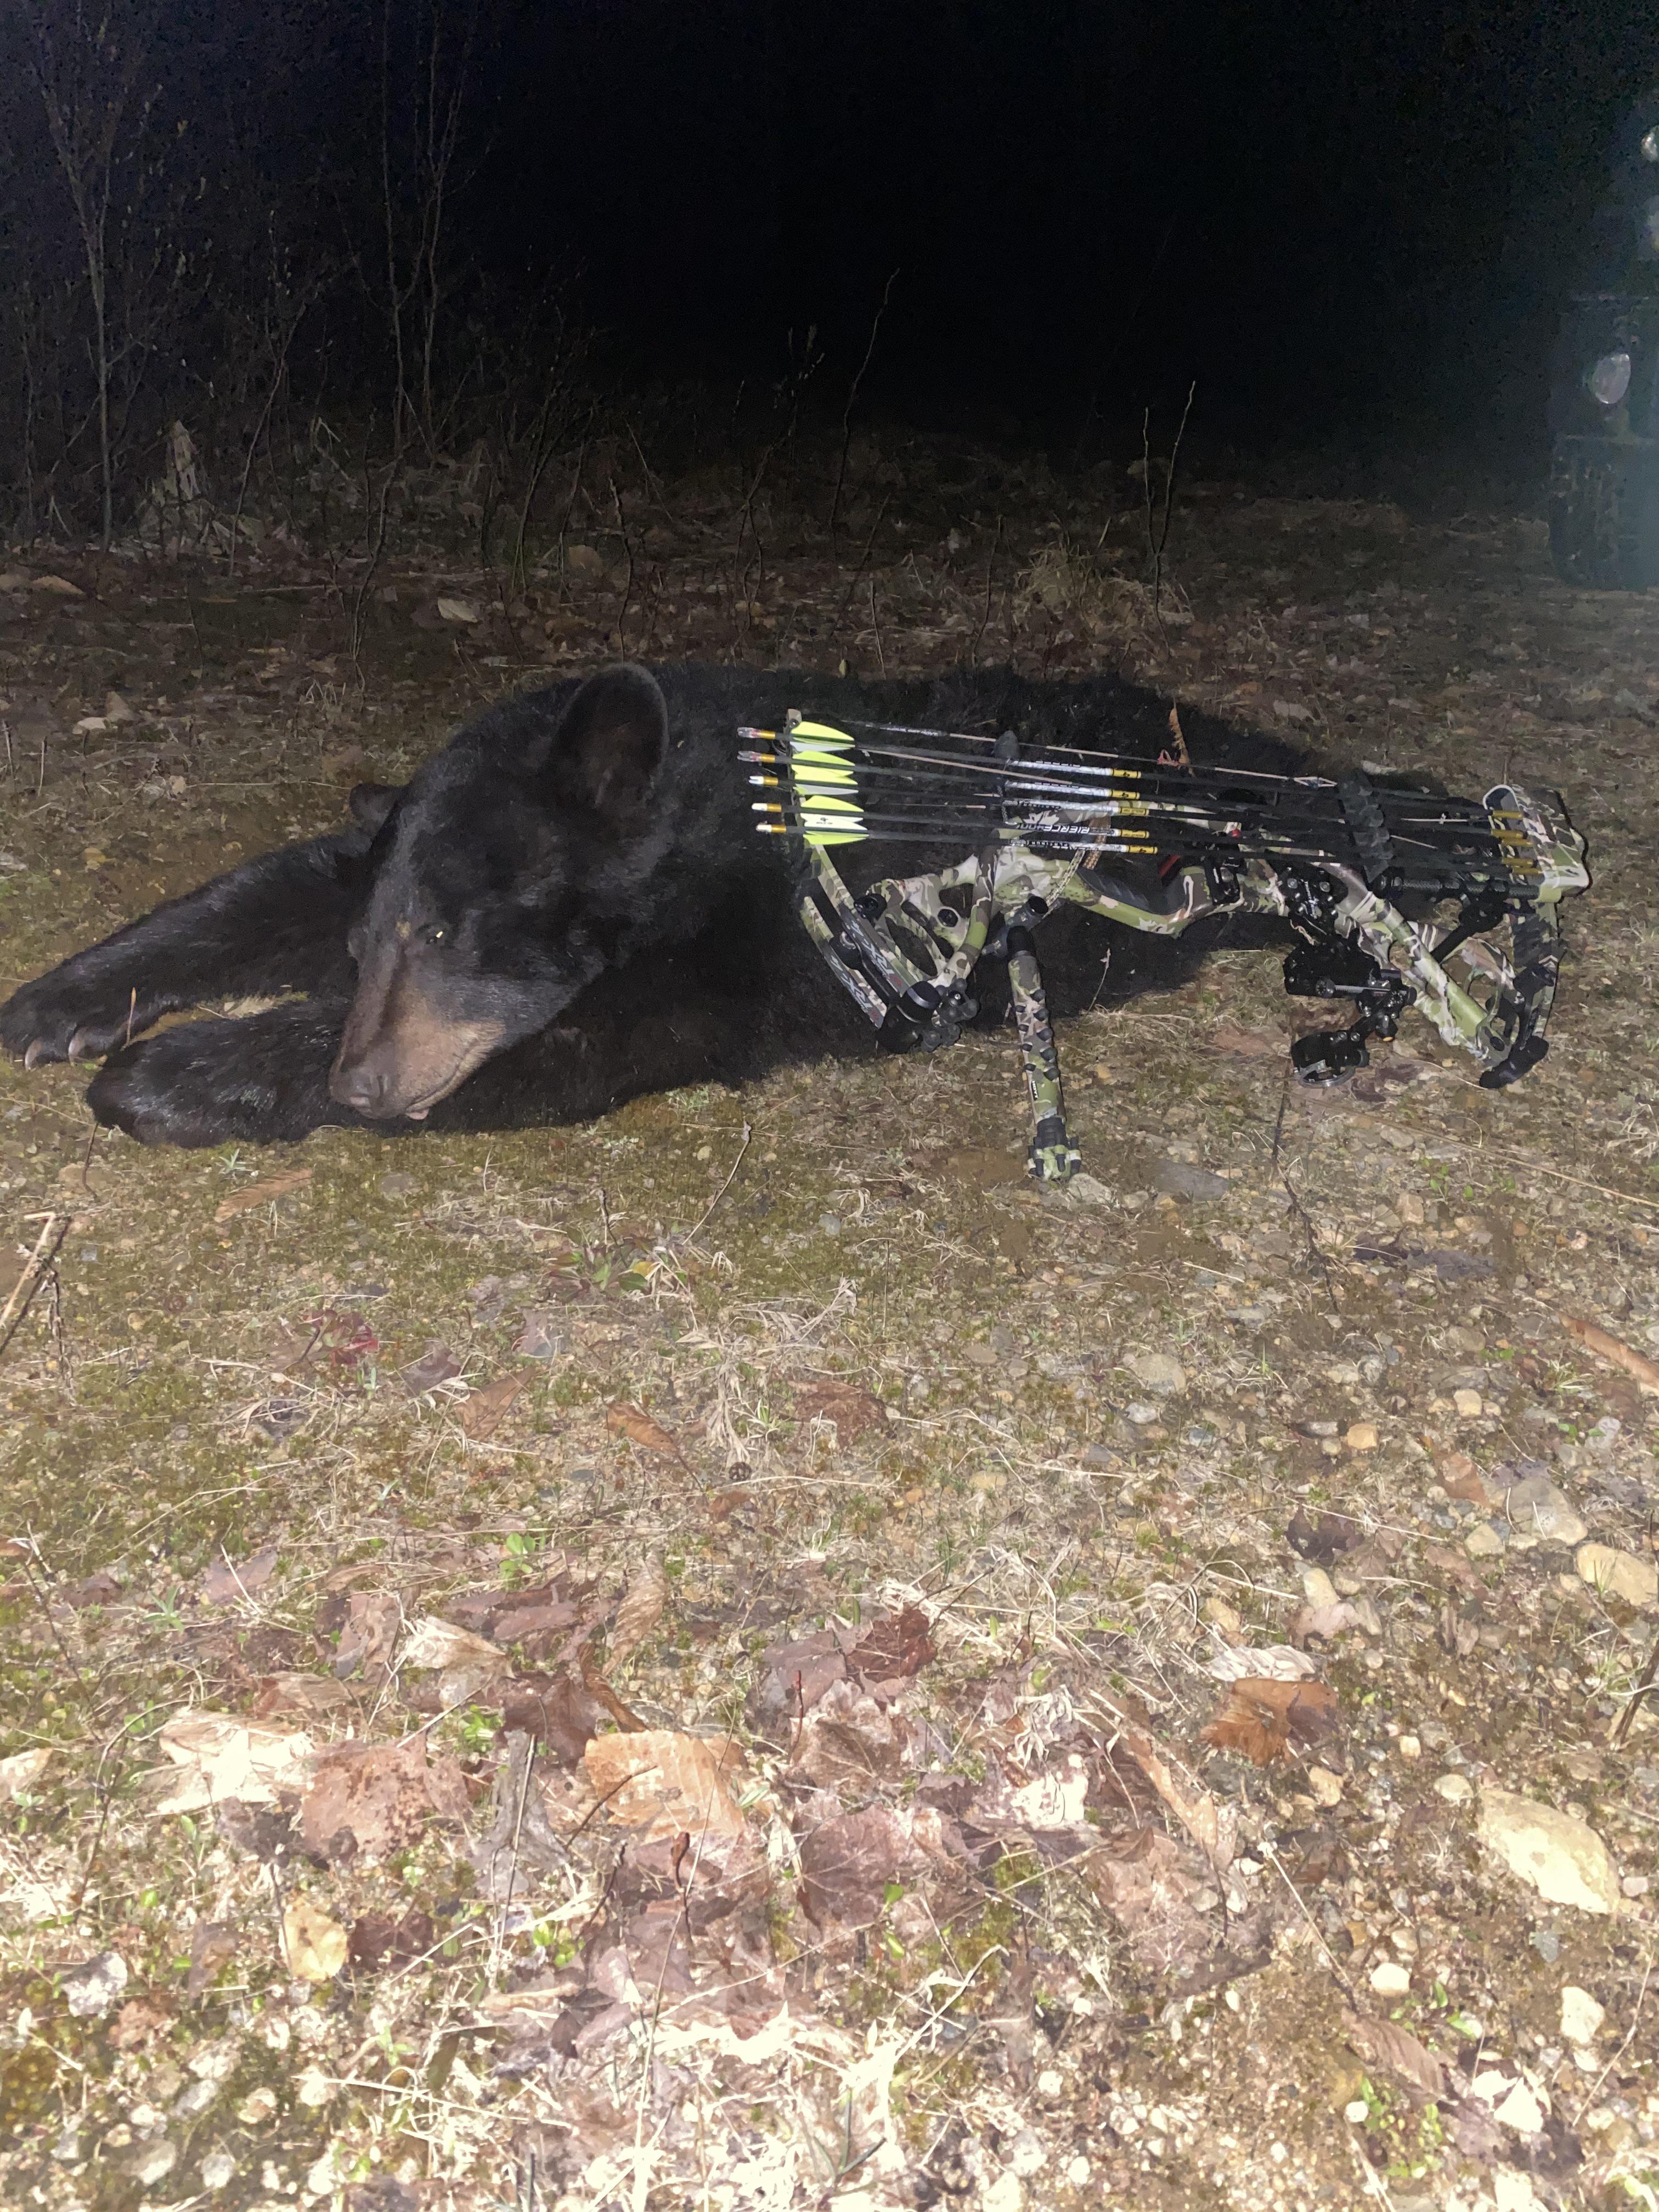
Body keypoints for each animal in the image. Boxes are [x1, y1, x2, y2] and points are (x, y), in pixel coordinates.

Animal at [0, 662, 1301, 1150]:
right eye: (373, 943)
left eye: (444, 933)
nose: (364, 1086)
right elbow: (263, 888)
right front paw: (58, 1004)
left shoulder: (729, 965)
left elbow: (569, 1038)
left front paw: (174, 1071)